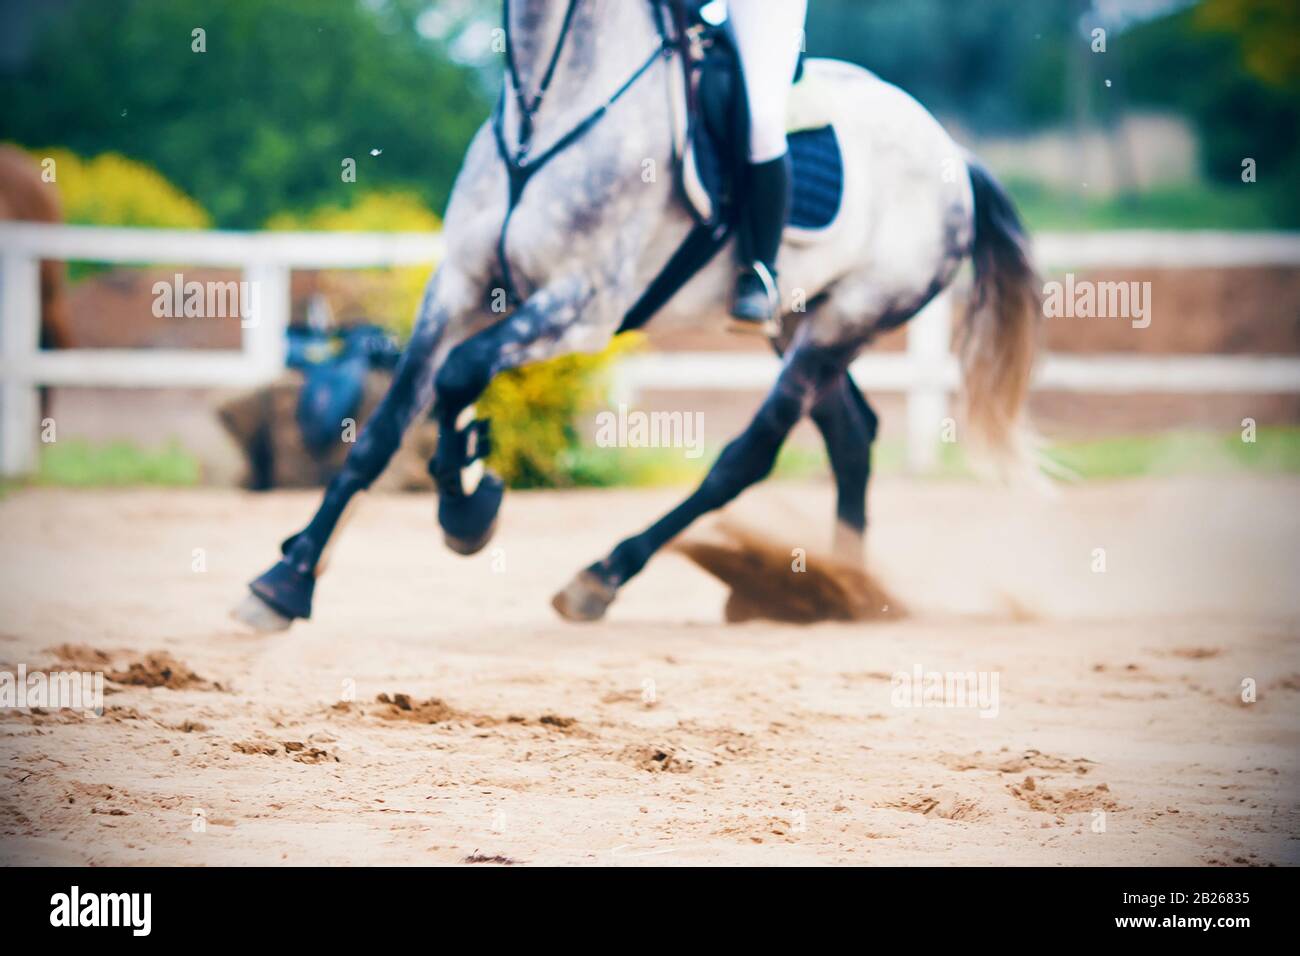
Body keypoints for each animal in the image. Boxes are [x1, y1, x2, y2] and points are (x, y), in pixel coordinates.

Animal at [234, 0, 1039, 631]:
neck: (546, 107)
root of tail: (954, 153)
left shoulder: (583, 304)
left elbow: (461, 375)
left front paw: (467, 508)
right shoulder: (459, 285)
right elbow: (385, 425)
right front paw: (290, 577)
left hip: (849, 318)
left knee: (751, 456)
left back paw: (608, 574)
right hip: (800, 320)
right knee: (849, 437)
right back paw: (836, 590)